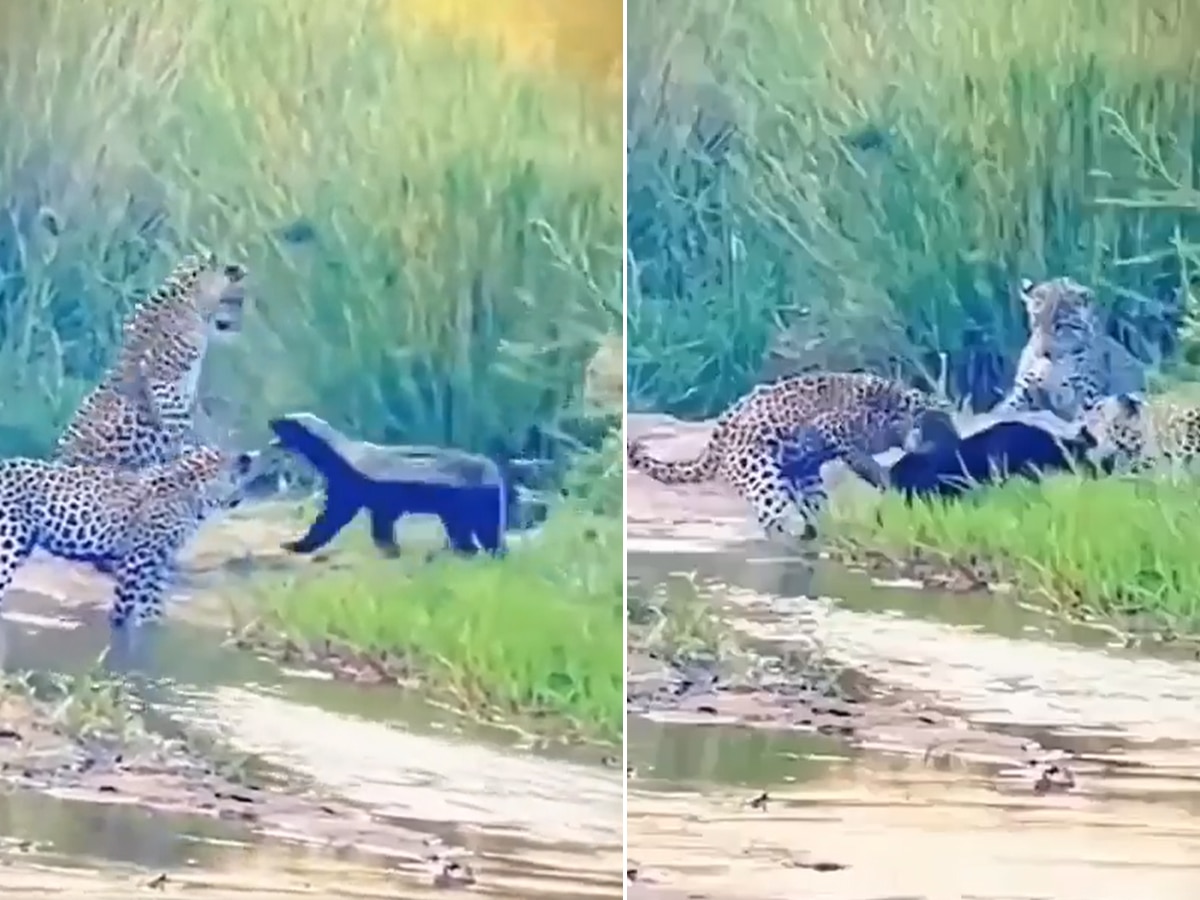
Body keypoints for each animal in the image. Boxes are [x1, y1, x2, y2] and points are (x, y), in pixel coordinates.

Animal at [0, 443, 257, 631]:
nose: (242, 498)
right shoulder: (137, 560)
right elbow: (124, 606)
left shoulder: (158, 562)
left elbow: (152, 604)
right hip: (9, 543)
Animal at [627, 372, 952, 539]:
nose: (934, 449)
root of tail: (717, 438)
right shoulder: (830, 428)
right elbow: (859, 456)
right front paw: (881, 476)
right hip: (759, 474)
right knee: (777, 516)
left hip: (805, 480)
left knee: (811, 510)